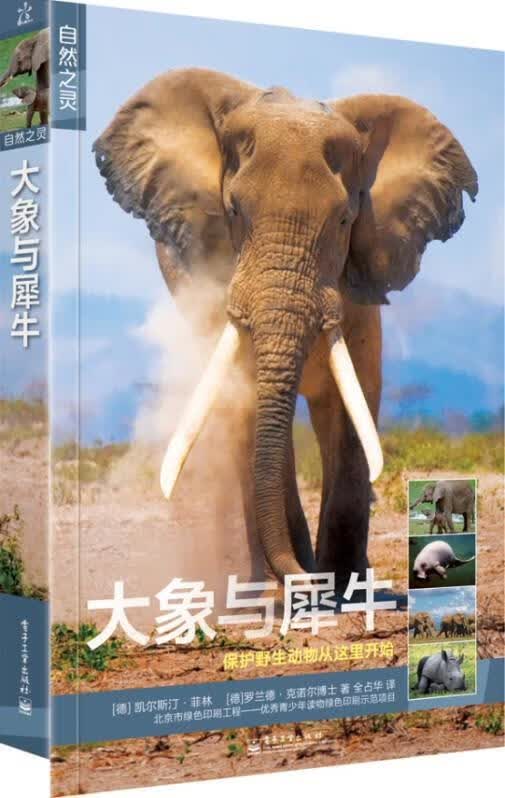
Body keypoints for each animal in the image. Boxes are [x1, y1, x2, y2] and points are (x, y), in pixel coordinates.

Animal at [94, 68, 477, 590]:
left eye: (344, 219)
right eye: (234, 211)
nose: (306, 577)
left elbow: (352, 403)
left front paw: (345, 587)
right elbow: (251, 407)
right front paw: (297, 588)